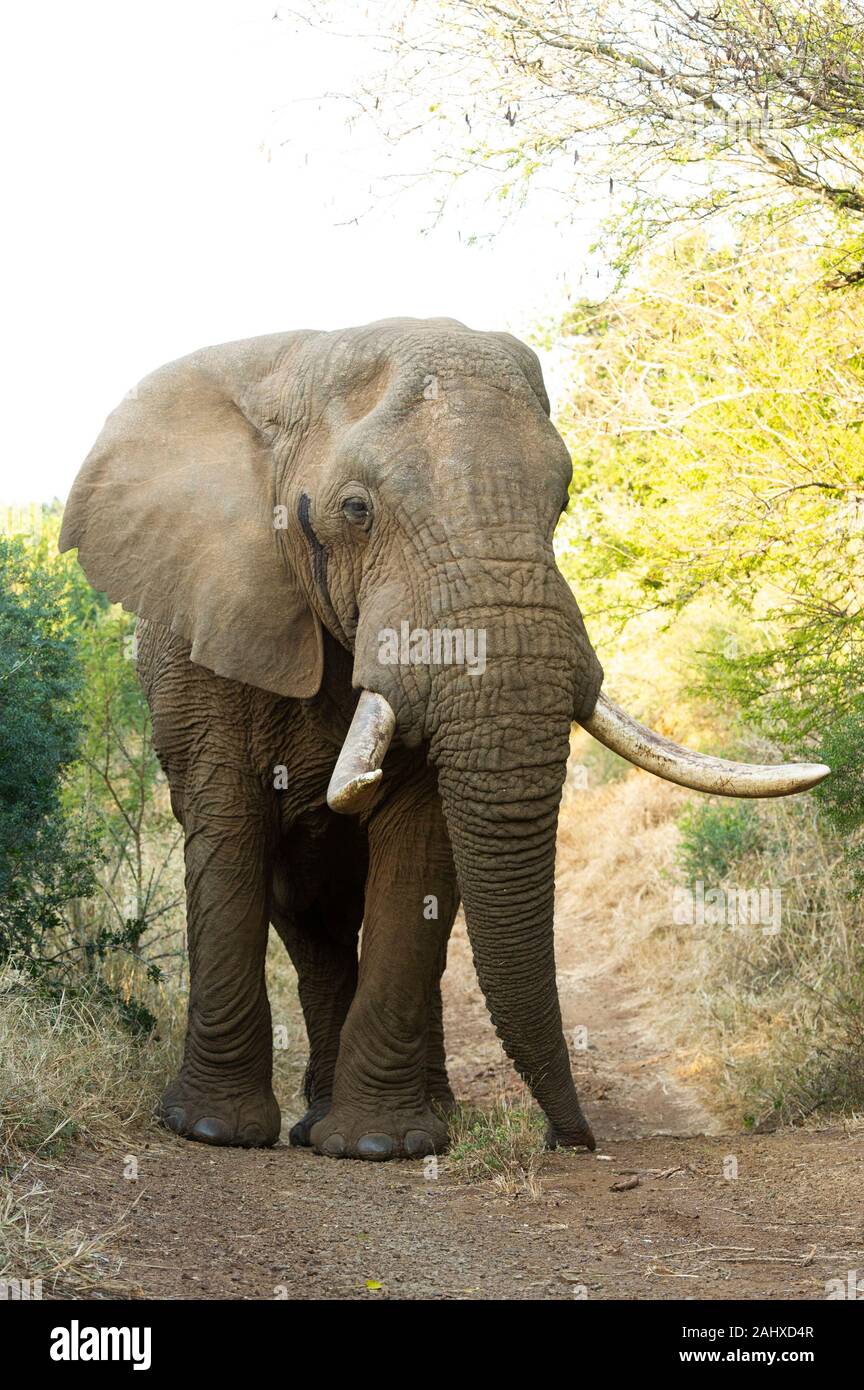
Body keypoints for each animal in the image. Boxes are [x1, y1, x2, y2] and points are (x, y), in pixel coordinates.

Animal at [59, 318, 829, 1161]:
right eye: (355, 509)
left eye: (563, 500)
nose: (574, 1139)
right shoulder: (210, 628)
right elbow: (228, 825)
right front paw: (211, 1132)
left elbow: (418, 846)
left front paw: (381, 1146)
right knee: (313, 922)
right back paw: (310, 1123)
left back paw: (396, 1119)